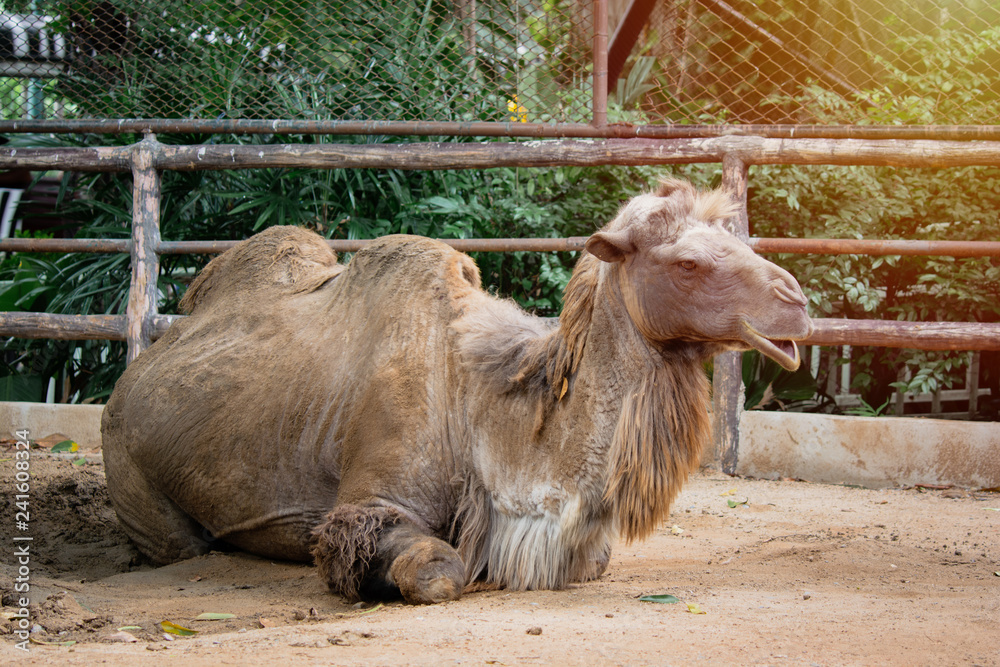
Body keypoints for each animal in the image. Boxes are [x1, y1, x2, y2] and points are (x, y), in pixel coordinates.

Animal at [101, 178, 812, 604]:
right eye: (687, 263)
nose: (796, 303)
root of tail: (134, 373)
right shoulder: (371, 505)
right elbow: (437, 572)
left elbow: (593, 559)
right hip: (128, 468)